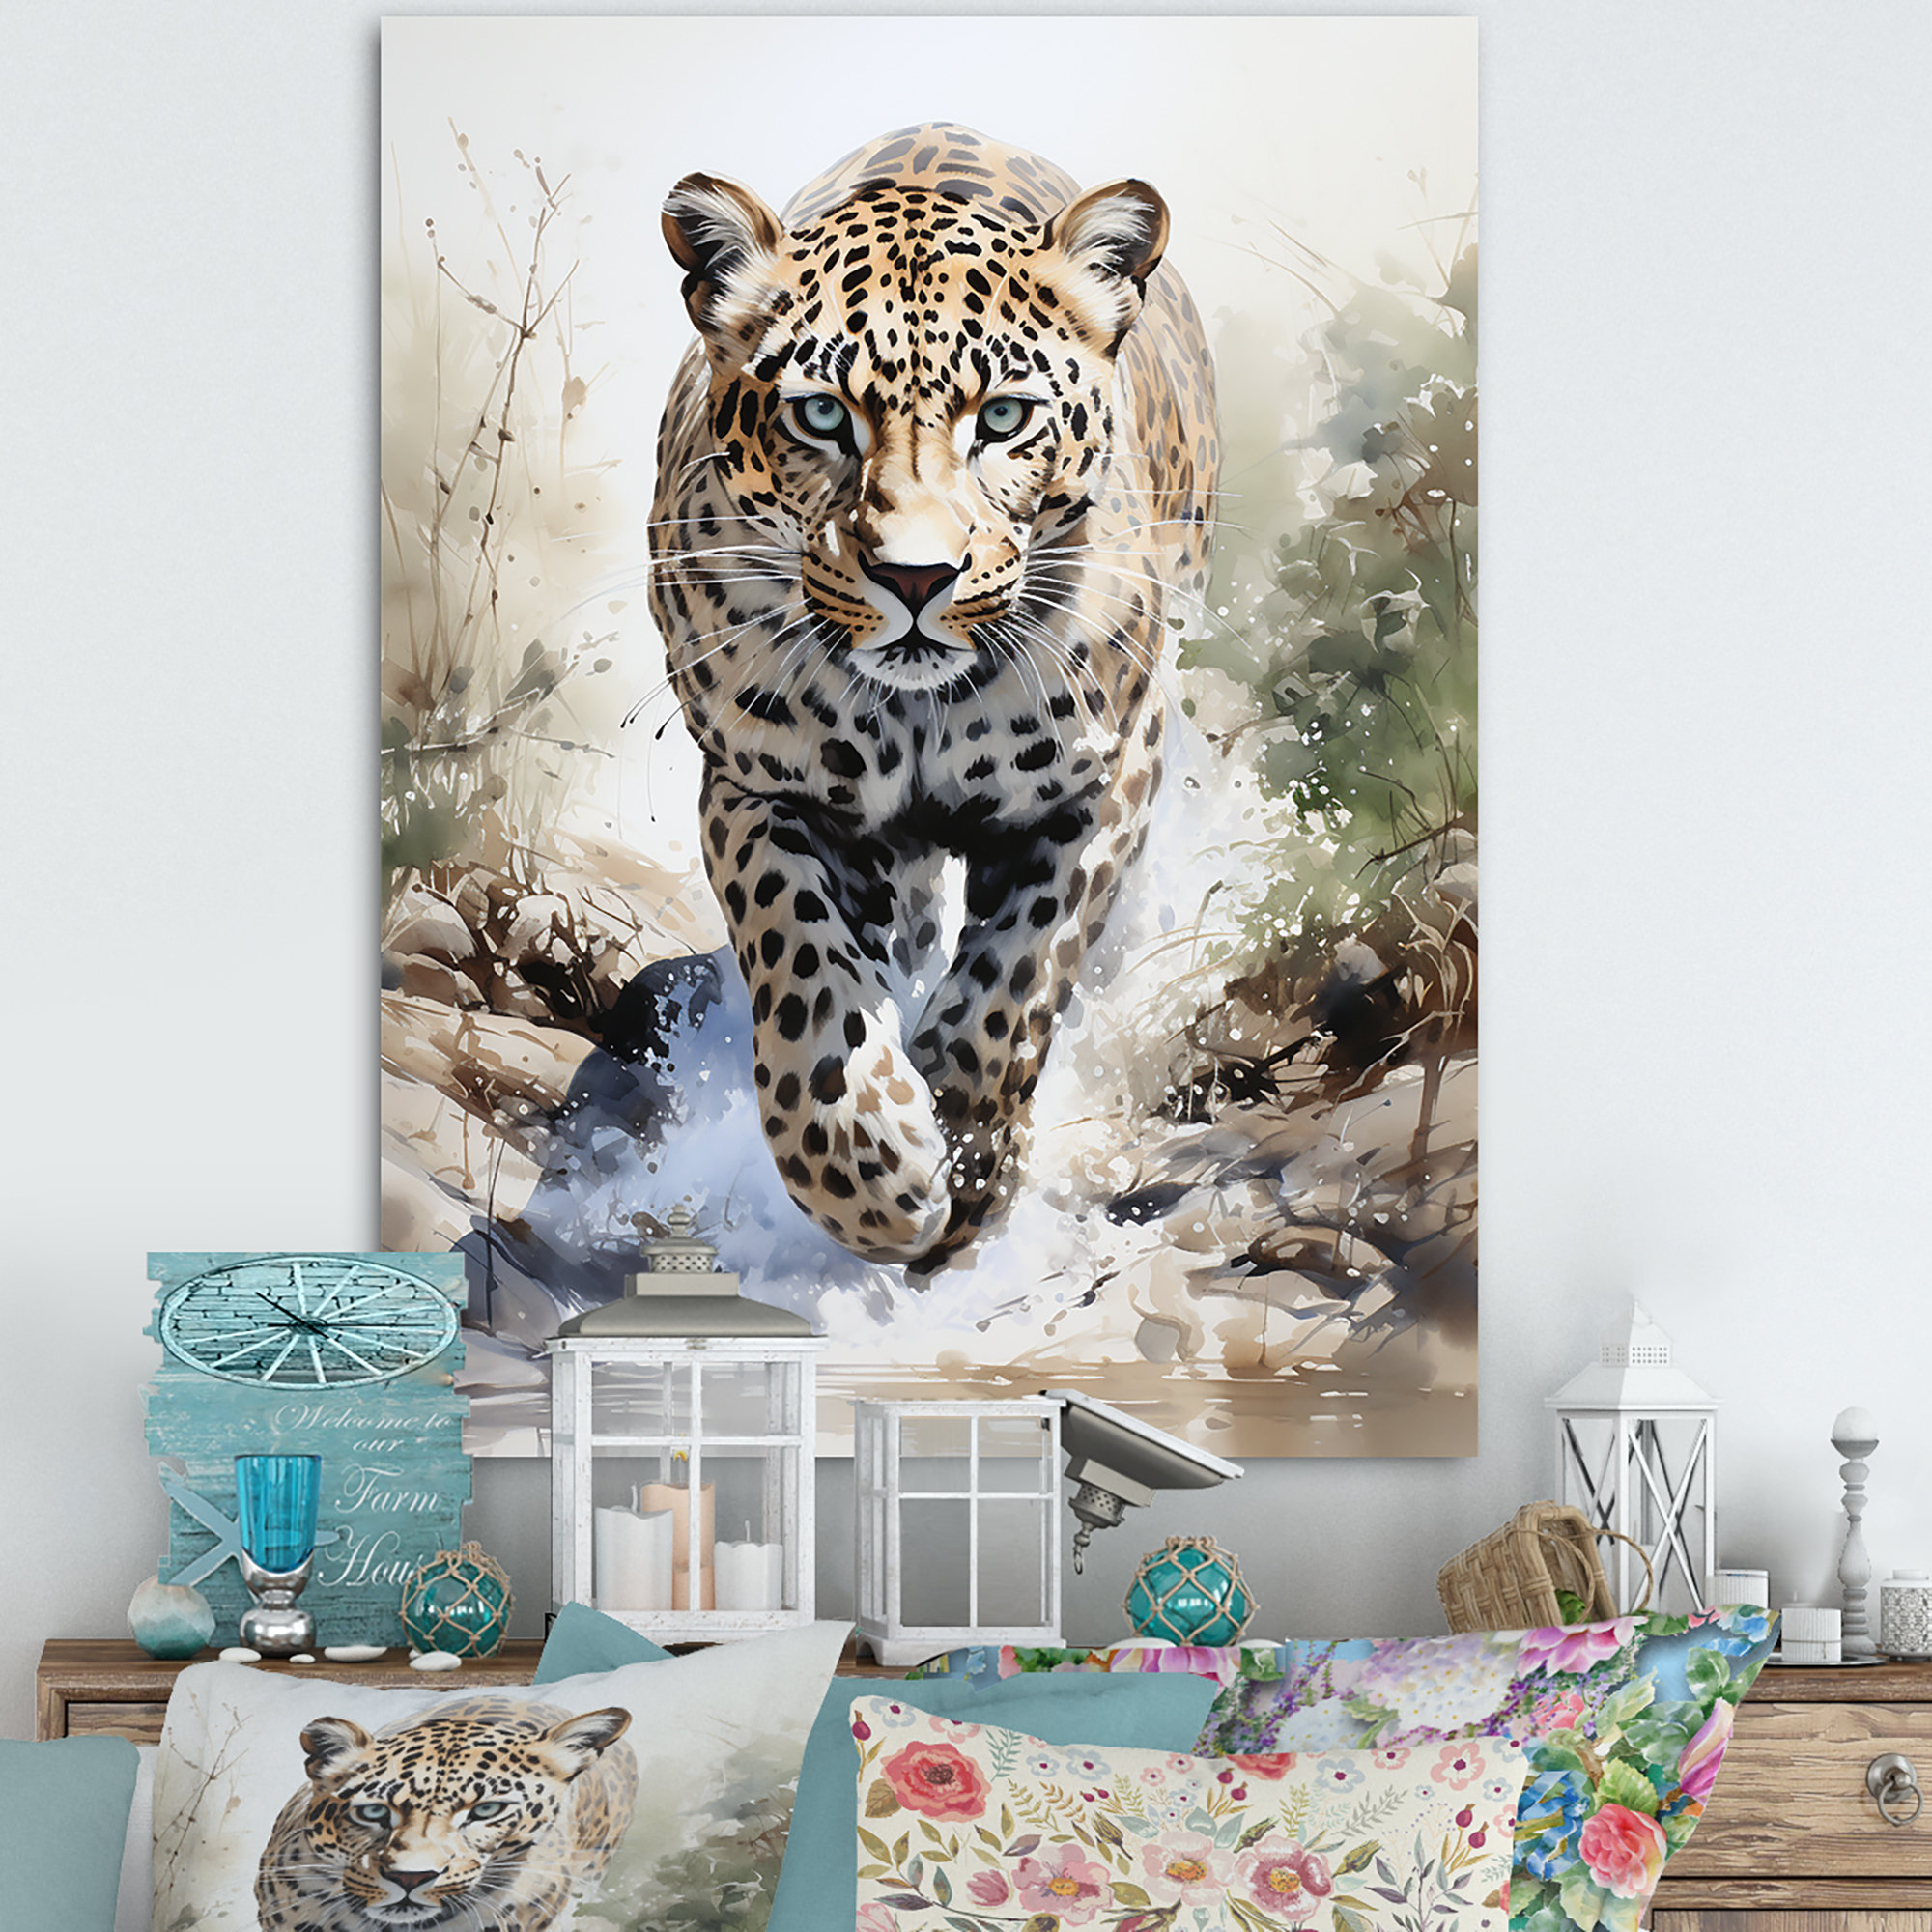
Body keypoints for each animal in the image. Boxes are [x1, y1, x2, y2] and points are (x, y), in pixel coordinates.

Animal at [650, 121, 1218, 1267]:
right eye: (821, 415)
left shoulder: (1103, 776)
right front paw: (869, 1168)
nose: (916, 580)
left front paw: (965, 1156)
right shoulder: (756, 786)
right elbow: (800, 960)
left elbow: (1018, 973)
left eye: (1001, 418)